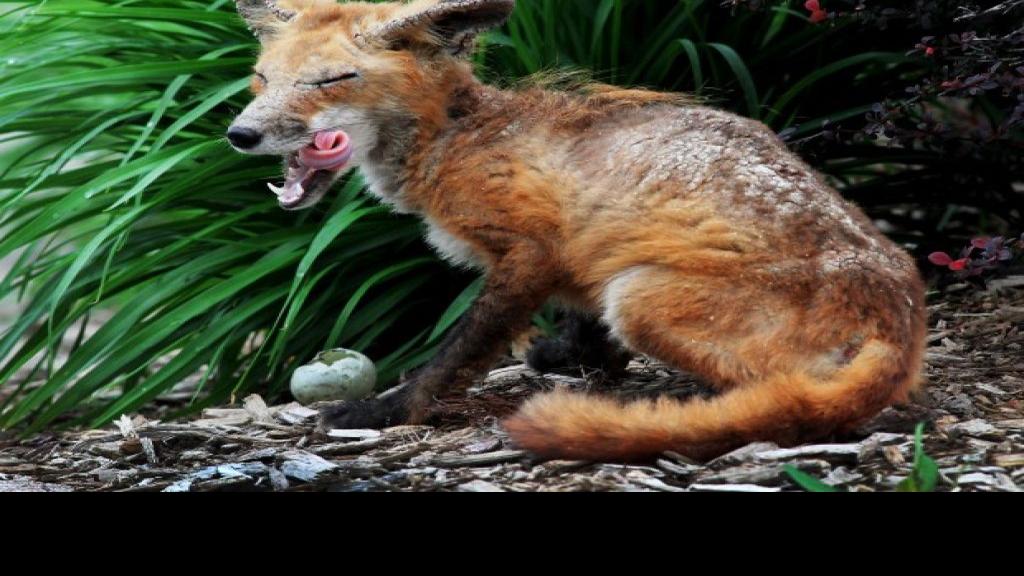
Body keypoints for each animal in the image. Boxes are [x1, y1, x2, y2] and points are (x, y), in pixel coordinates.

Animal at [227, 0, 928, 462]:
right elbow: (578, 318)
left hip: (637, 295)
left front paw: (389, 411)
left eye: (329, 81)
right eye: (262, 79)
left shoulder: (529, 252)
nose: (240, 134)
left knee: (784, 396)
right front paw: (578, 357)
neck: (456, 138)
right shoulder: (575, 253)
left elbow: (457, 352)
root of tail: (904, 315)